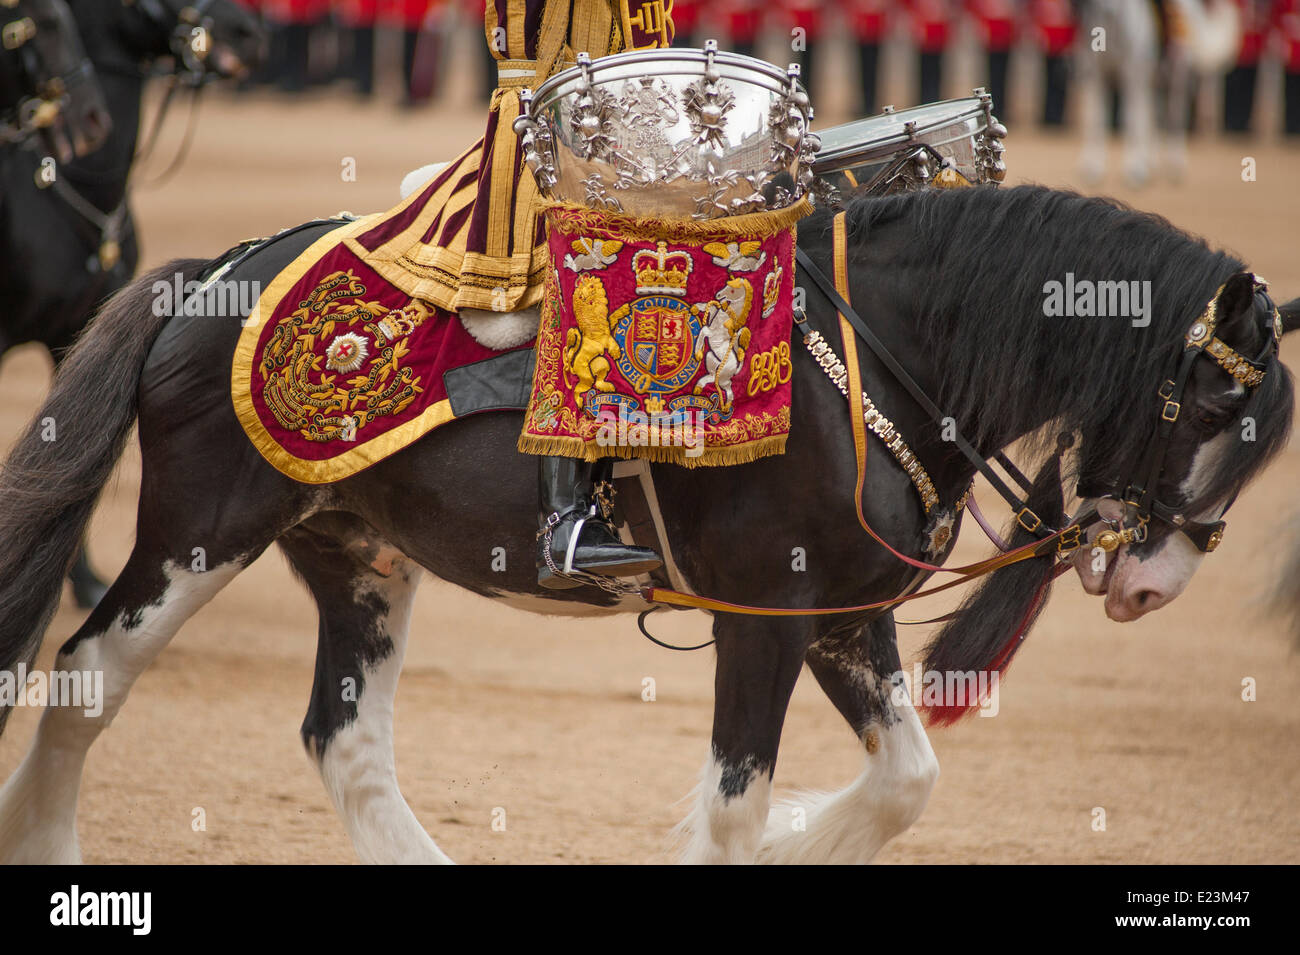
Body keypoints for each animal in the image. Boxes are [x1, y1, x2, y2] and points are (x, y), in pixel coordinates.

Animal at [0, 184, 1294, 864]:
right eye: (1212, 408)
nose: (1153, 581)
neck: (870, 356)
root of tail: (211, 271)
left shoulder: (844, 617)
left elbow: (903, 782)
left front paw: (799, 837)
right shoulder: (764, 618)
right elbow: (732, 803)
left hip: (358, 556)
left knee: (346, 738)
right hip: (197, 531)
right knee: (87, 677)